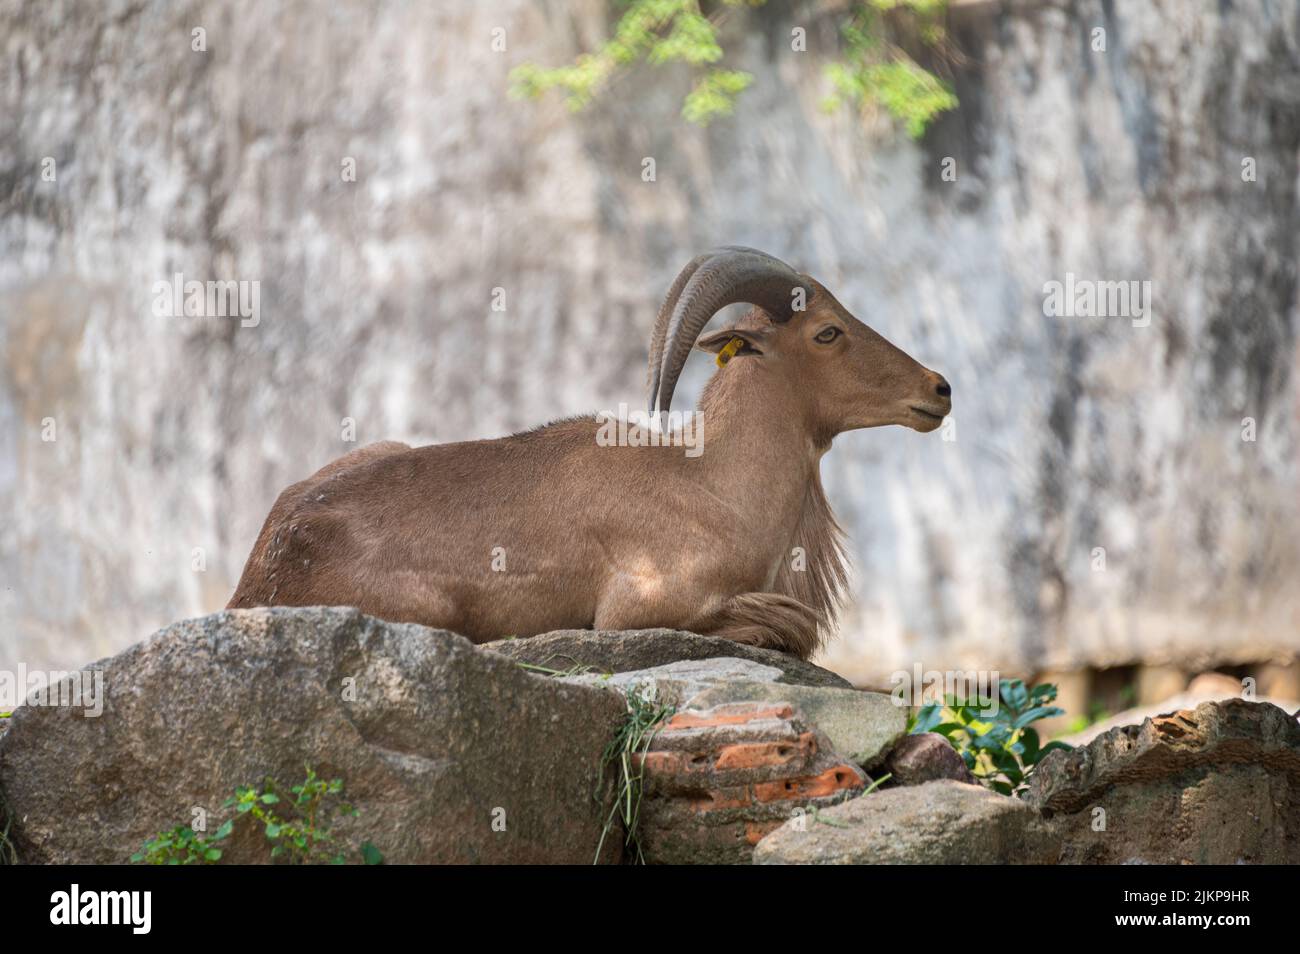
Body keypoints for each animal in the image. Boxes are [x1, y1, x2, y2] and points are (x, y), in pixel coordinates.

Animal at [228, 247, 951, 659]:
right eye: (827, 332)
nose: (938, 388)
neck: (713, 483)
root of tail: (258, 576)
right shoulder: (637, 609)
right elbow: (786, 625)